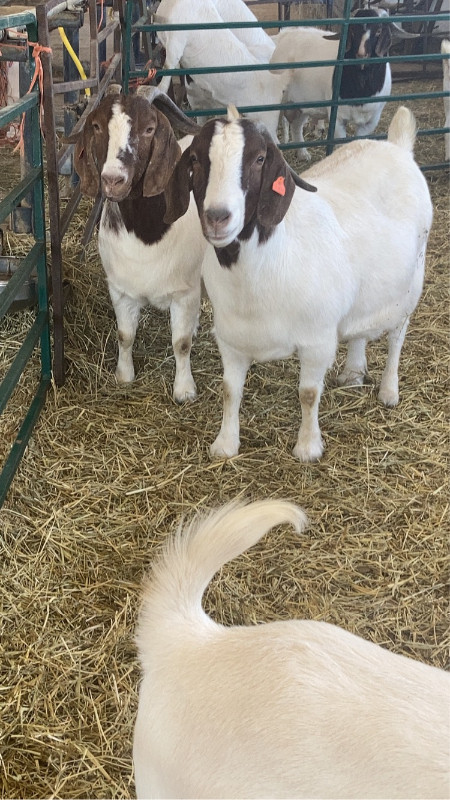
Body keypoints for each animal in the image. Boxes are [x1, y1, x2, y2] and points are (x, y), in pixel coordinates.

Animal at [68, 87, 206, 402]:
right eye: (97, 126)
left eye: (149, 129)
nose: (113, 180)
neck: (148, 233)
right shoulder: (120, 289)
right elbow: (125, 335)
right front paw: (124, 376)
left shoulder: (185, 291)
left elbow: (180, 343)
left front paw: (184, 390)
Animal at [163, 105, 432, 461]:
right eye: (194, 158)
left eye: (259, 158)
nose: (217, 216)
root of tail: (396, 146)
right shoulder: (231, 338)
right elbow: (230, 390)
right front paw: (225, 443)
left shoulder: (317, 341)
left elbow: (308, 393)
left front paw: (308, 448)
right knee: (359, 330)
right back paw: (352, 372)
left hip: (410, 287)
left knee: (397, 339)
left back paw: (389, 390)